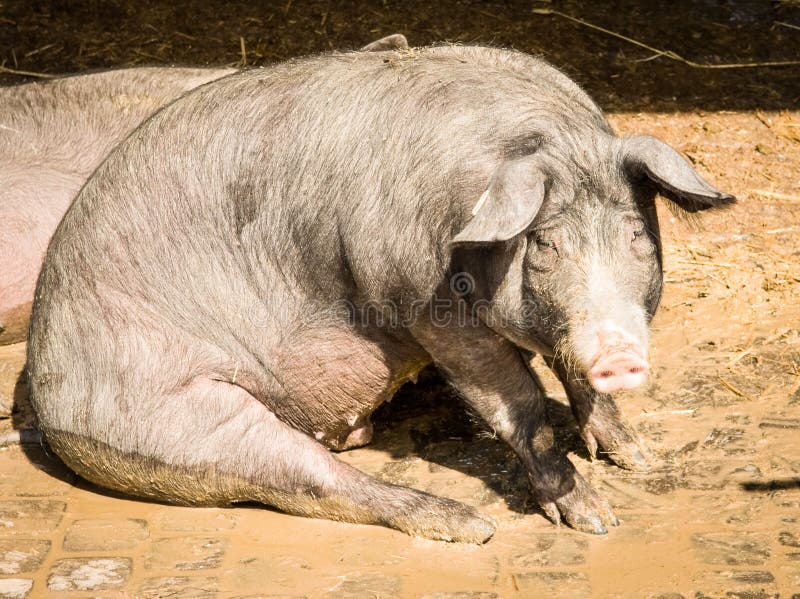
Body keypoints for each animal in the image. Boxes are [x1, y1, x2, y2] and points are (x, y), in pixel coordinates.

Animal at [27, 43, 733, 542]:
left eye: (638, 235)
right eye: (545, 246)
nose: (620, 354)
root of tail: (42, 374)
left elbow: (576, 379)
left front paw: (641, 459)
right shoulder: (423, 303)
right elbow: (519, 407)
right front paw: (598, 521)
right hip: (175, 419)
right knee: (308, 480)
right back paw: (471, 527)